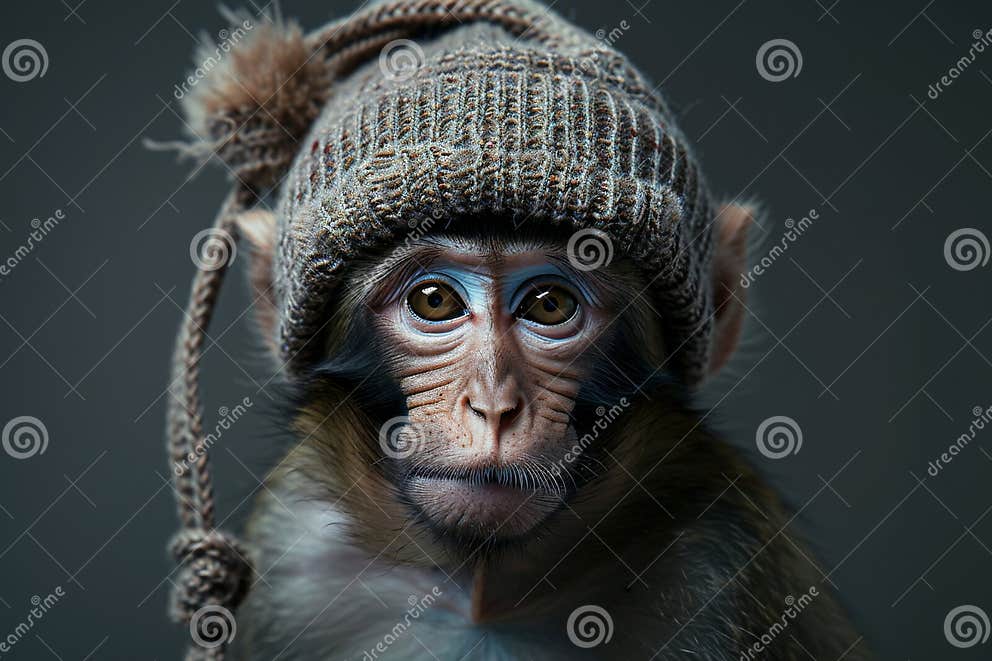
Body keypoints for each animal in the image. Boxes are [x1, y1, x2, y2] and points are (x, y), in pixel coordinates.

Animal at [159, 2, 871, 659]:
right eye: (435, 300)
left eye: (550, 306)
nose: (495, 408)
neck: (482, 593)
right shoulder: (292, 558)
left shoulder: (726, 564)